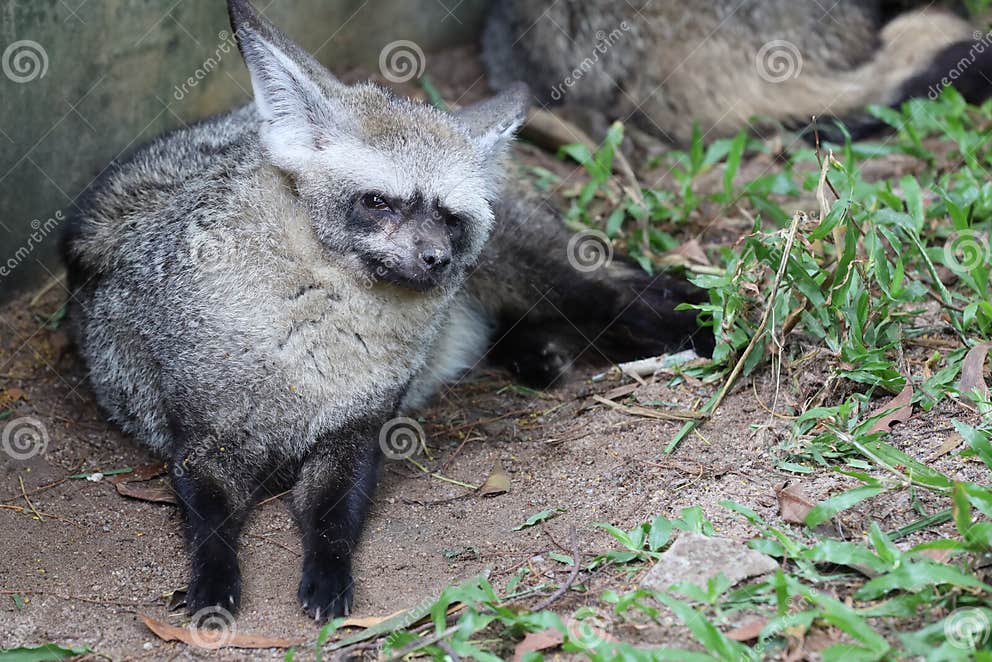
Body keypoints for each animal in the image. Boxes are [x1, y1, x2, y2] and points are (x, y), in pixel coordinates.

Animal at [62, 0, 709, 620]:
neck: (318, 342)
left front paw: (328, 579)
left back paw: (707, 329)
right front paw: (214, 584)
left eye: (449, 216)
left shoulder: (357, 434)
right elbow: (212, 526)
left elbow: (333, 521)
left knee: (619, 296)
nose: (436, 259)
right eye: (378, 202)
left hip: (533, 273)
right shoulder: (204, 445)